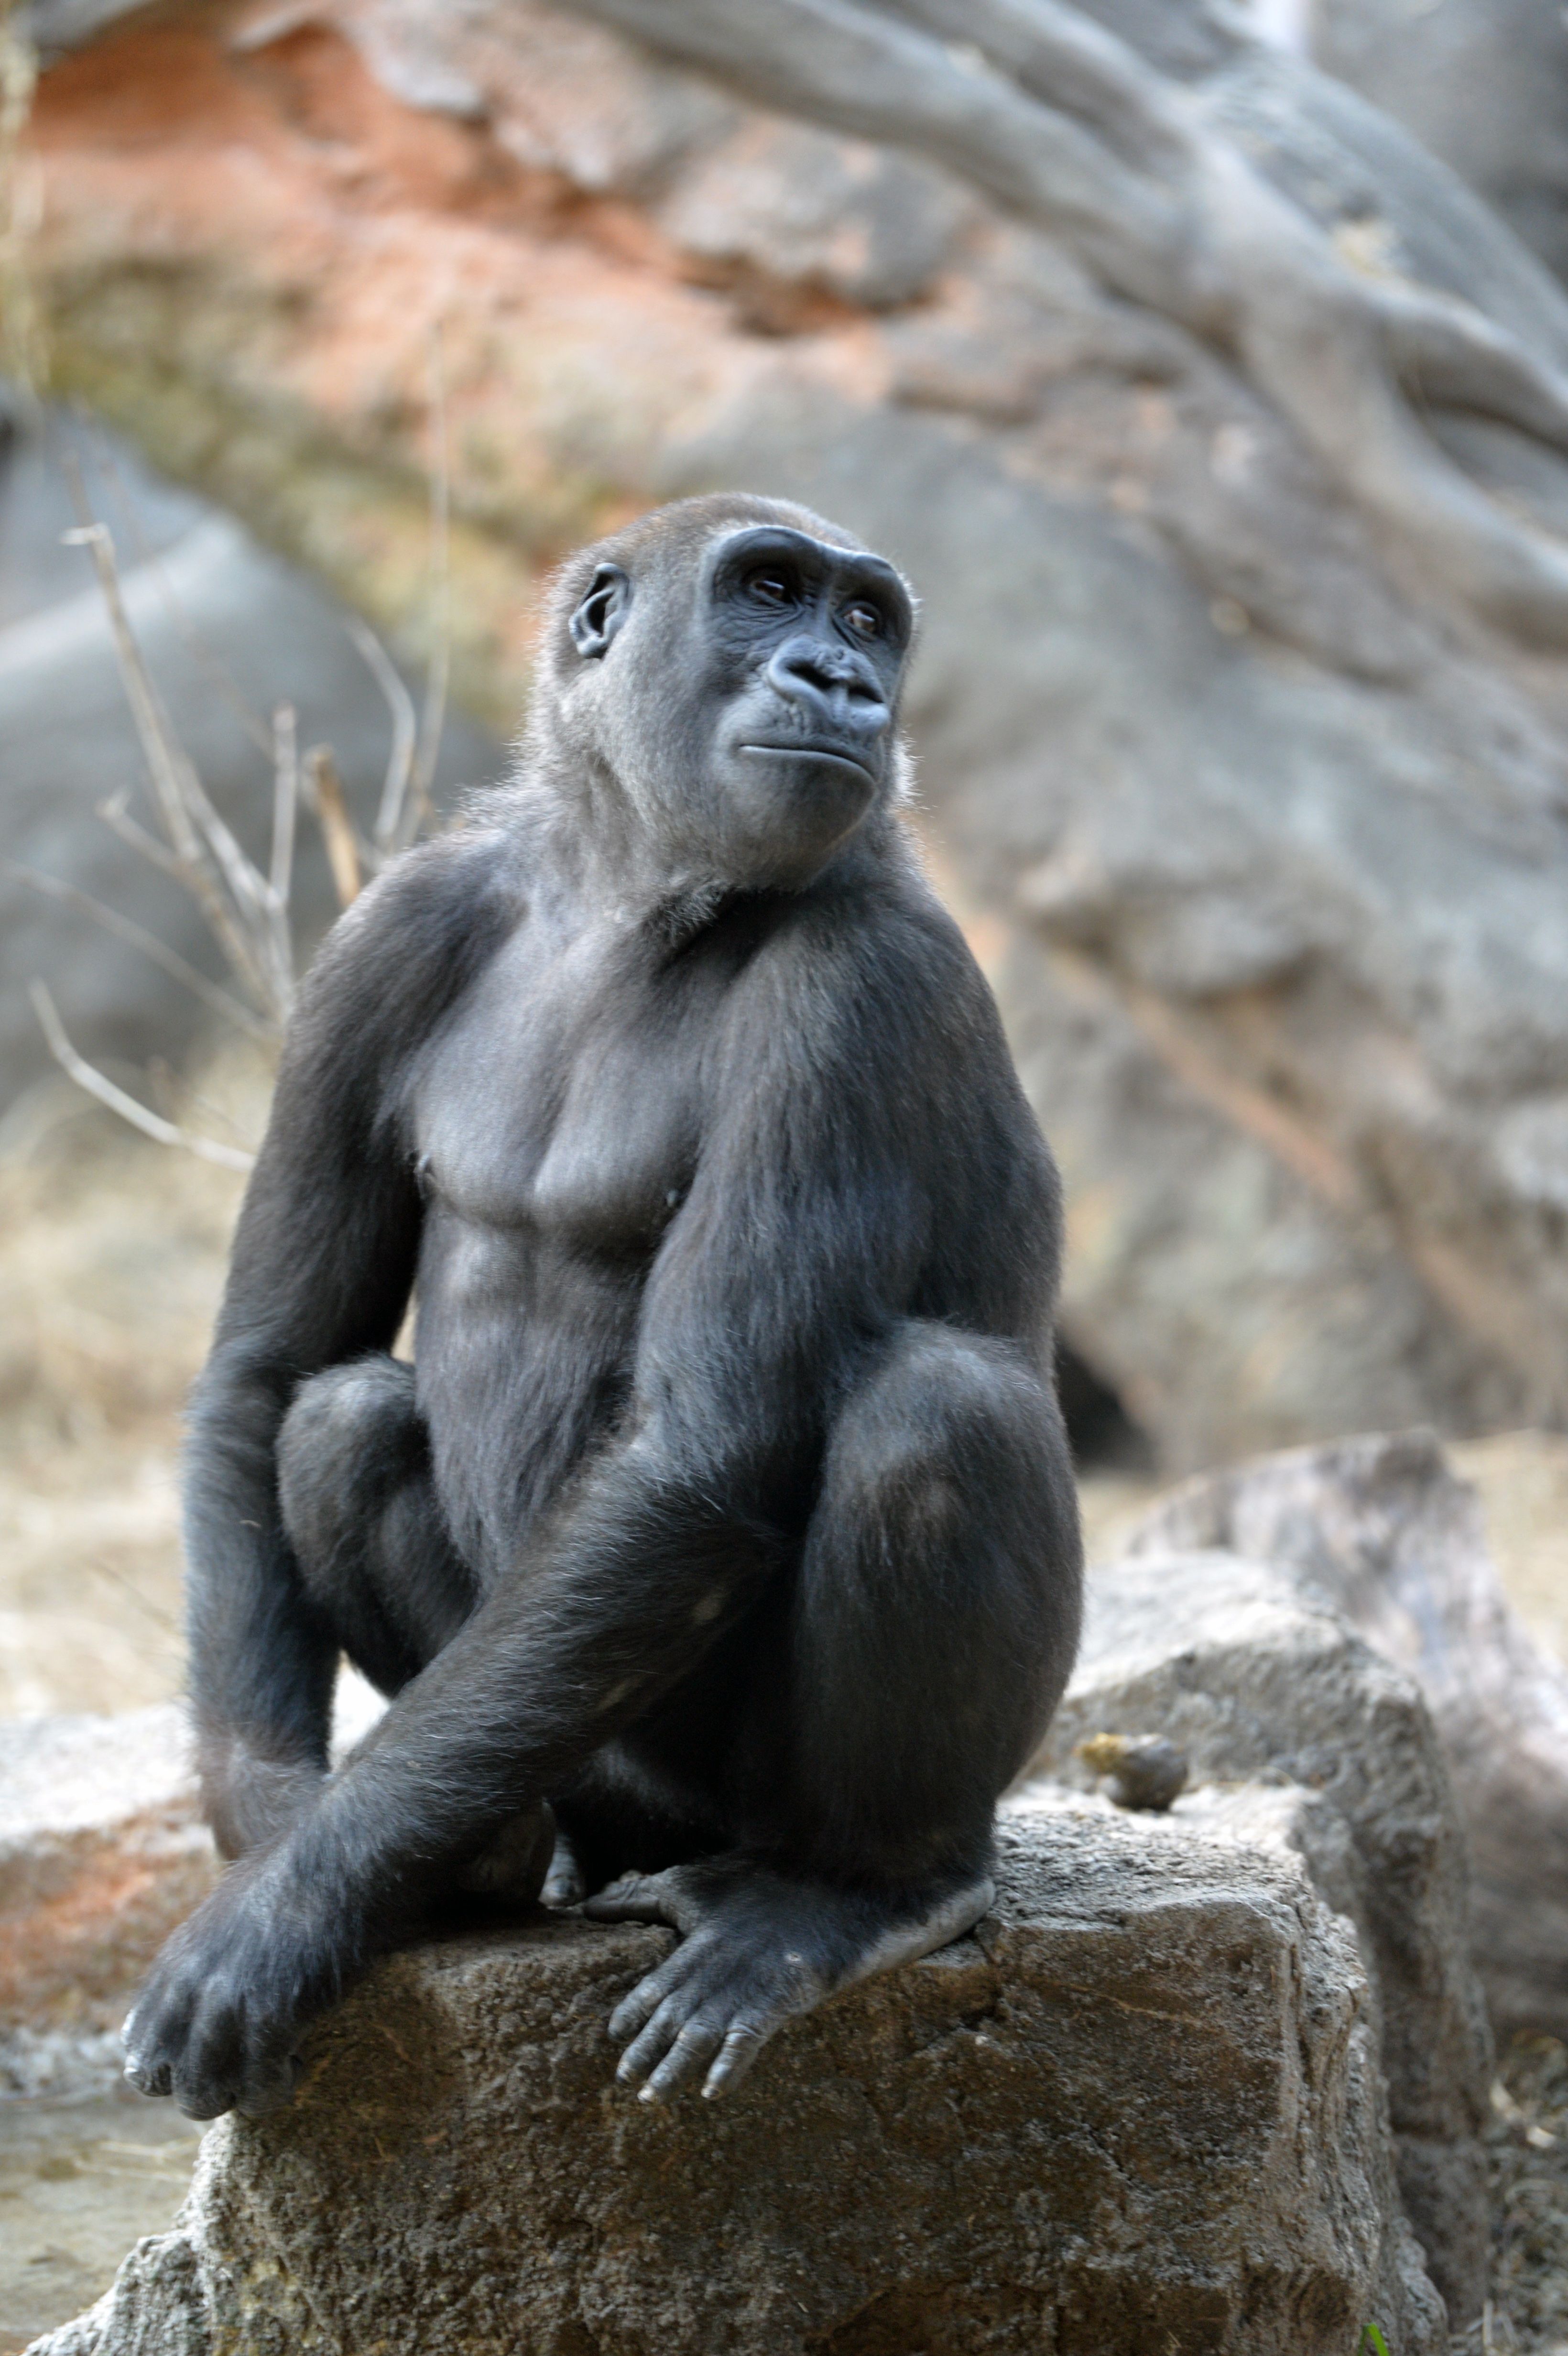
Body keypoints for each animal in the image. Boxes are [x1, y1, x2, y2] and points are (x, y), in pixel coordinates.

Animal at [122, 492, 1083, 2121]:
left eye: (867, 619)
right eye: (771, 591)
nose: (841, 680)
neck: (630, 892)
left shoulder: (863, 983)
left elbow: (698, 1452)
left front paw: (284, 1906)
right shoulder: (385, 929)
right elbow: (270, 1365)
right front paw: (278, 1824)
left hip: (759, 1798)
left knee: (936, 1415)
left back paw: (865, 1887)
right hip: (595, 1781)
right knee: (341, 1423)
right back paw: (494, 1866)